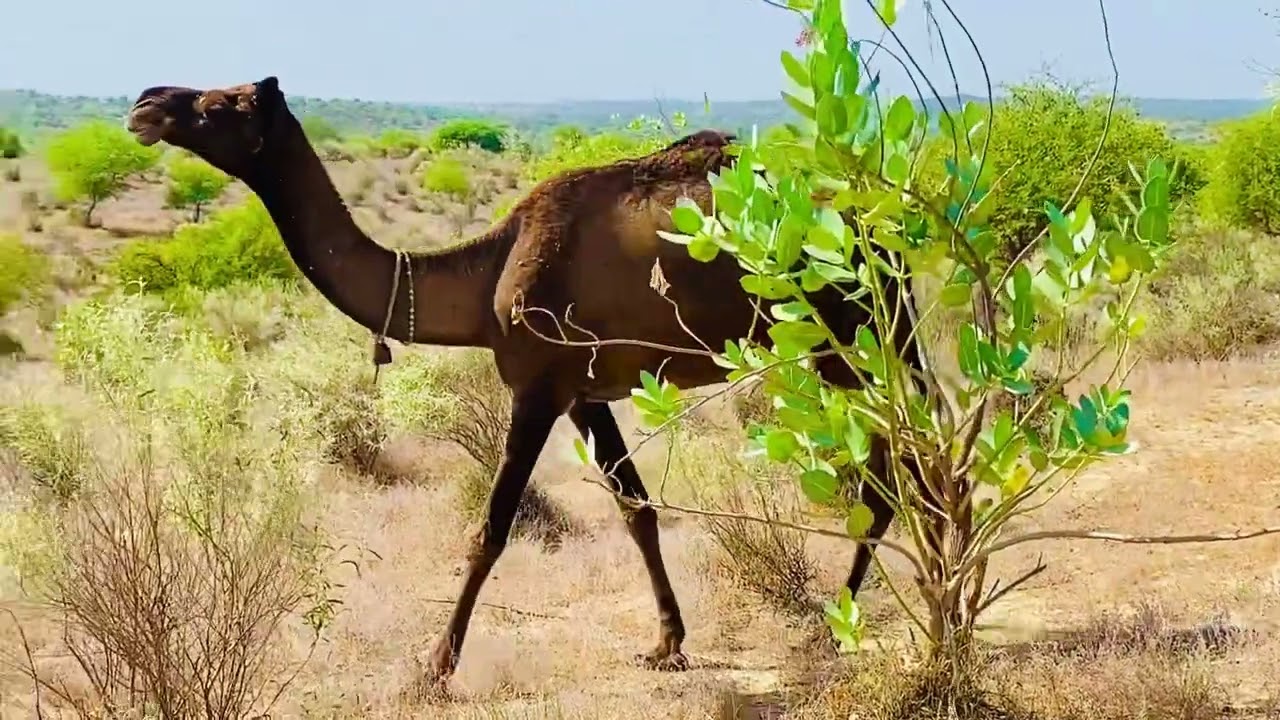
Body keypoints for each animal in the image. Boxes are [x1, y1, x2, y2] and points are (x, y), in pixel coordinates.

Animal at [124, 76, 925, 681]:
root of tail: (876, 216)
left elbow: (491, 526)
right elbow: (635, 507)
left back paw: (846, 625)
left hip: (850, 333)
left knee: (897, 472)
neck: (483, 278)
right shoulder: (584, 392)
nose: (146, 102)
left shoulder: (536, 387)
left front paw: (436, 663)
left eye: (220, 104)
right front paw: (666, 643)